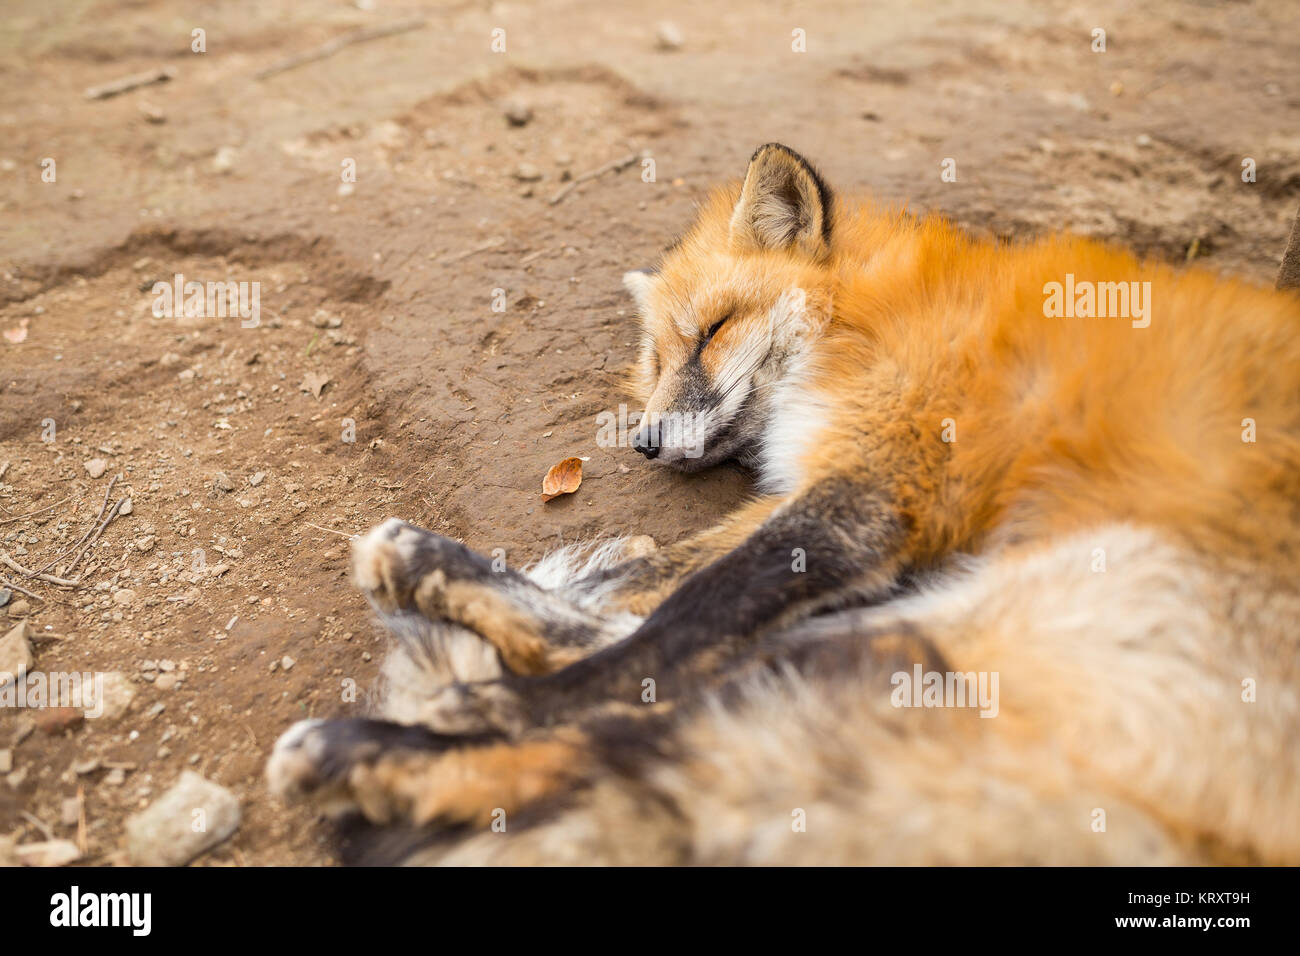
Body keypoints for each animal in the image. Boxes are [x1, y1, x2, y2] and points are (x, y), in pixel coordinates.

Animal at [267, 143, 1300, 865]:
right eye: (653, 361)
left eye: (712, 332)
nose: (644, 443)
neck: (864, 316)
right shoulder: (829, 483)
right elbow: (657, 579)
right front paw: (441, 572)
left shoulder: (880, 483)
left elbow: (682, 613)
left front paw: (494, 688)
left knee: (651, 704)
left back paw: (405, 735)